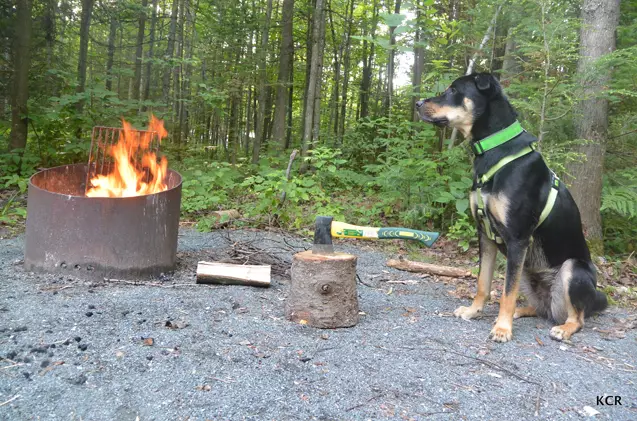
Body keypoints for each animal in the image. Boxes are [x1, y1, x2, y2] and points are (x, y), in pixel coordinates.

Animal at [414, 73, 604, 342]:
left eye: (453, 90)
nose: (417, 103)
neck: (494, 149)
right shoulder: (485, 235)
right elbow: (483, 283)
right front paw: (473, 311)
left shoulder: (517, 239)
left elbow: (507, 292)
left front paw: (502, 328)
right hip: (525, 271)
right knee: (541, 308)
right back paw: (522, 311)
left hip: (571, 269)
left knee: (576, 317)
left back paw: (563, 328)